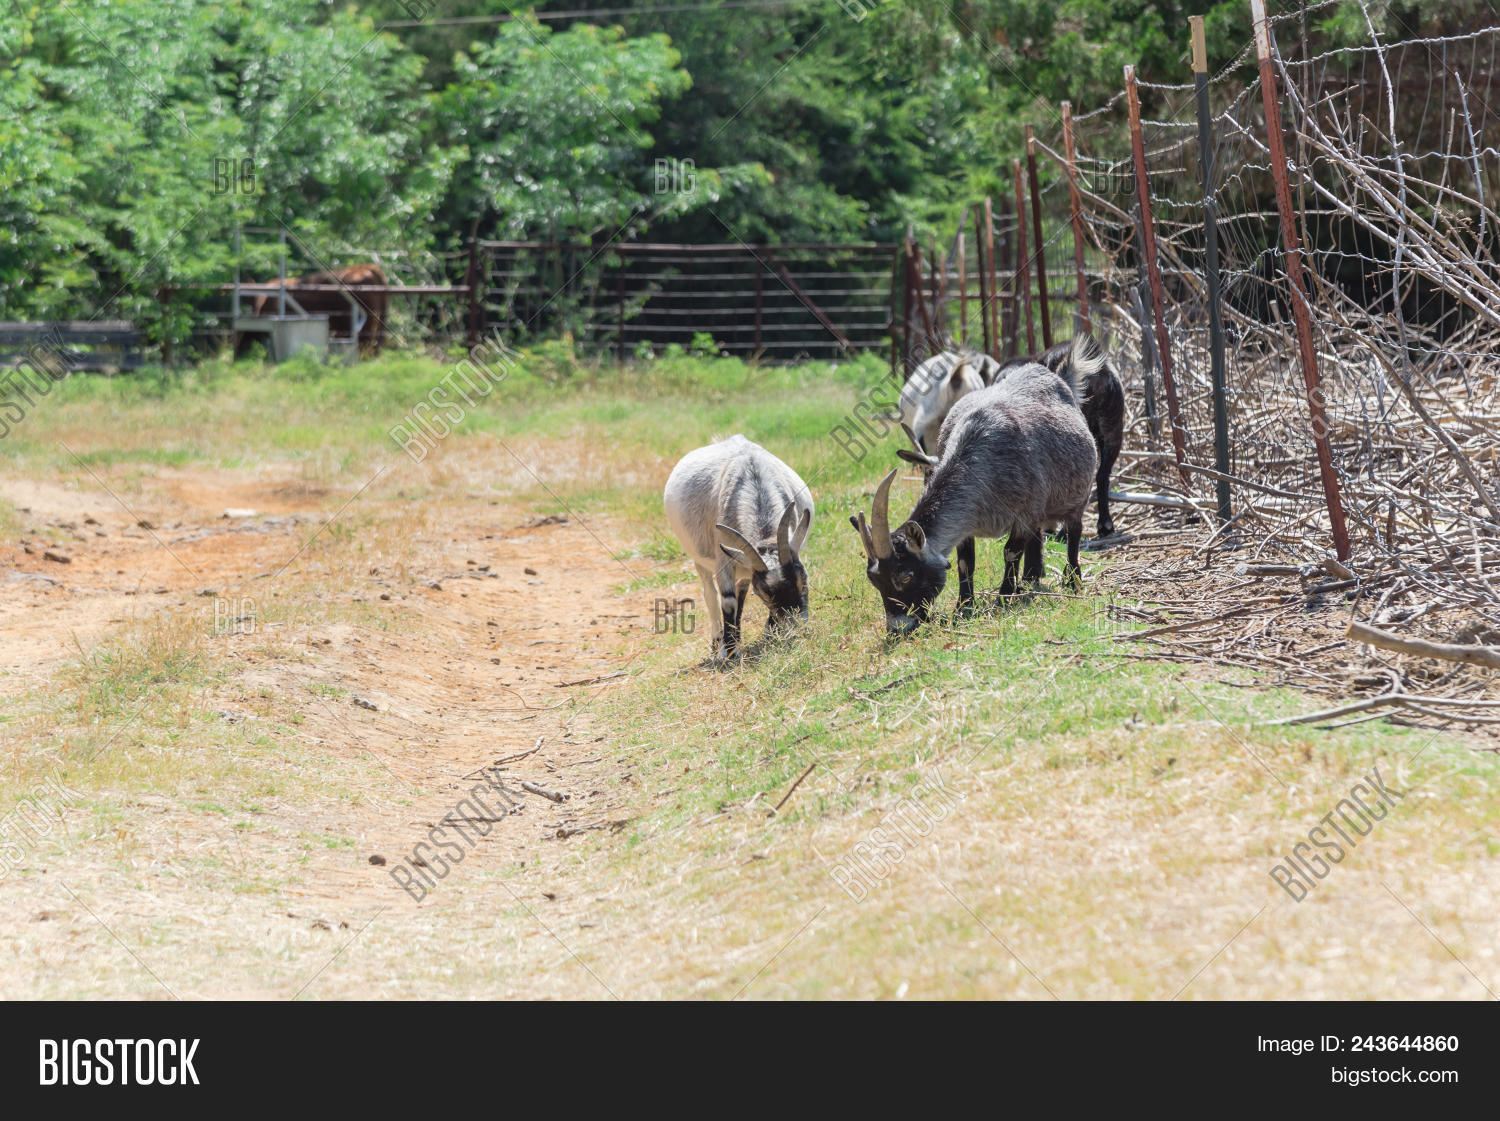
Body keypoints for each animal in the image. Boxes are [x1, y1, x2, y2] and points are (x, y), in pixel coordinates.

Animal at [664, 435, 813, 658]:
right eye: (764, 592)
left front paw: (770, 634)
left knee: (740, 592)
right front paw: (730, 652)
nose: (797, 625)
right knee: (710, 594)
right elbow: (727, 601)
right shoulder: (723, 559)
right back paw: (717, 642)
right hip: (700, 560)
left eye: (803, 579)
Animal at [852, 362, 1097, 634]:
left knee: (1074, 531)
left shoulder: (1024, 514)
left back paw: (1072, 580)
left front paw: (1004, 598)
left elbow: (1011, 552)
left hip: (1079, 495)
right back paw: (1031, 578)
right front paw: (964, 606)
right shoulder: (966, 524)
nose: (898, 628)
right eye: (874, 580)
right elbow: (964, 562)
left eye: (905, 576)